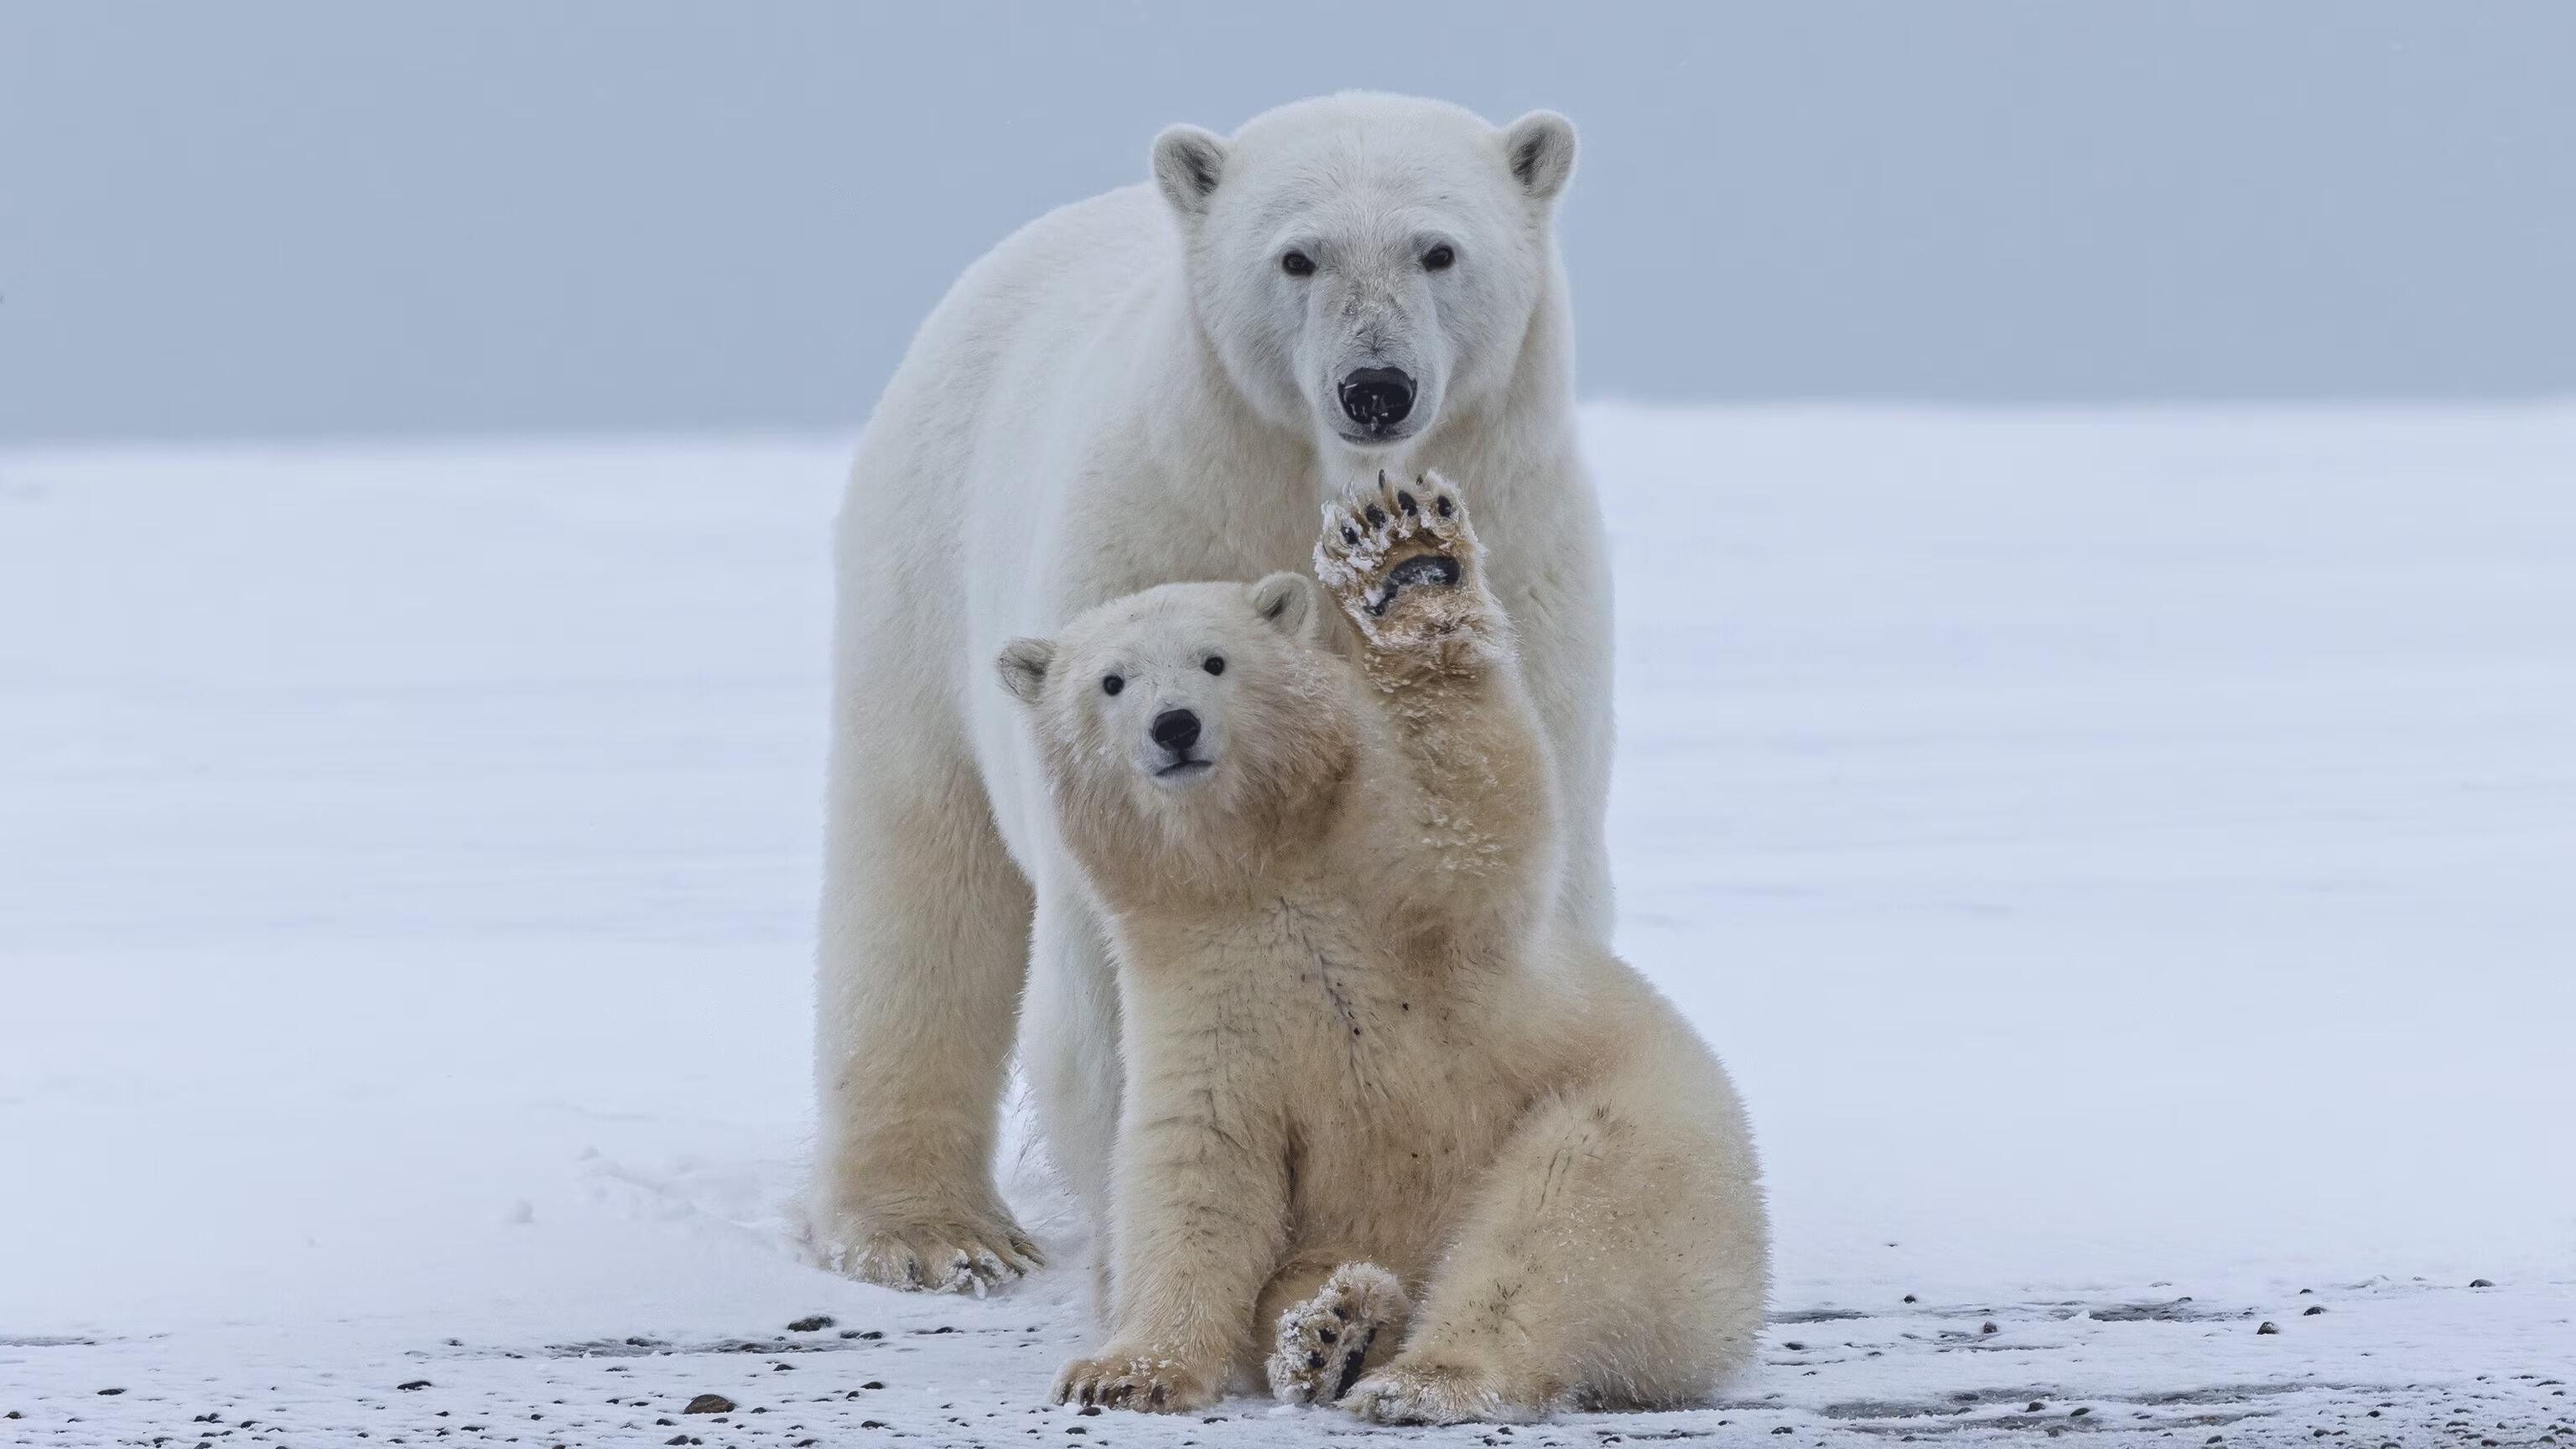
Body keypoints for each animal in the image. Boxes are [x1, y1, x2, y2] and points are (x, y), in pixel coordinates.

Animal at [811, 93, 1621, 1295]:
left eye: (1438, 249)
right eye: (1298, 255)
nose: (1375, 388)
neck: (1316, 491)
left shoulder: (1526, 564)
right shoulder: (1152, 542)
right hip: (918, 571)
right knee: (920, 874)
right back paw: (928, 1231)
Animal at [995, 474, 1768, 1423]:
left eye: (1215, 661)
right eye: (1111, 681)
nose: (1174, 726)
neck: (1260, 874)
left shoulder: (1392, 893)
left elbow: (1472, 814)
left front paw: (1402, 565)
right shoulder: (1198, 988)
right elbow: (1198, 1166)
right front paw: (1124, 1371)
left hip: (1646, 1129)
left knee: (1558, 1220)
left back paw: (1423, 1374)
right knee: (1318, 1269)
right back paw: (1334, 1333)